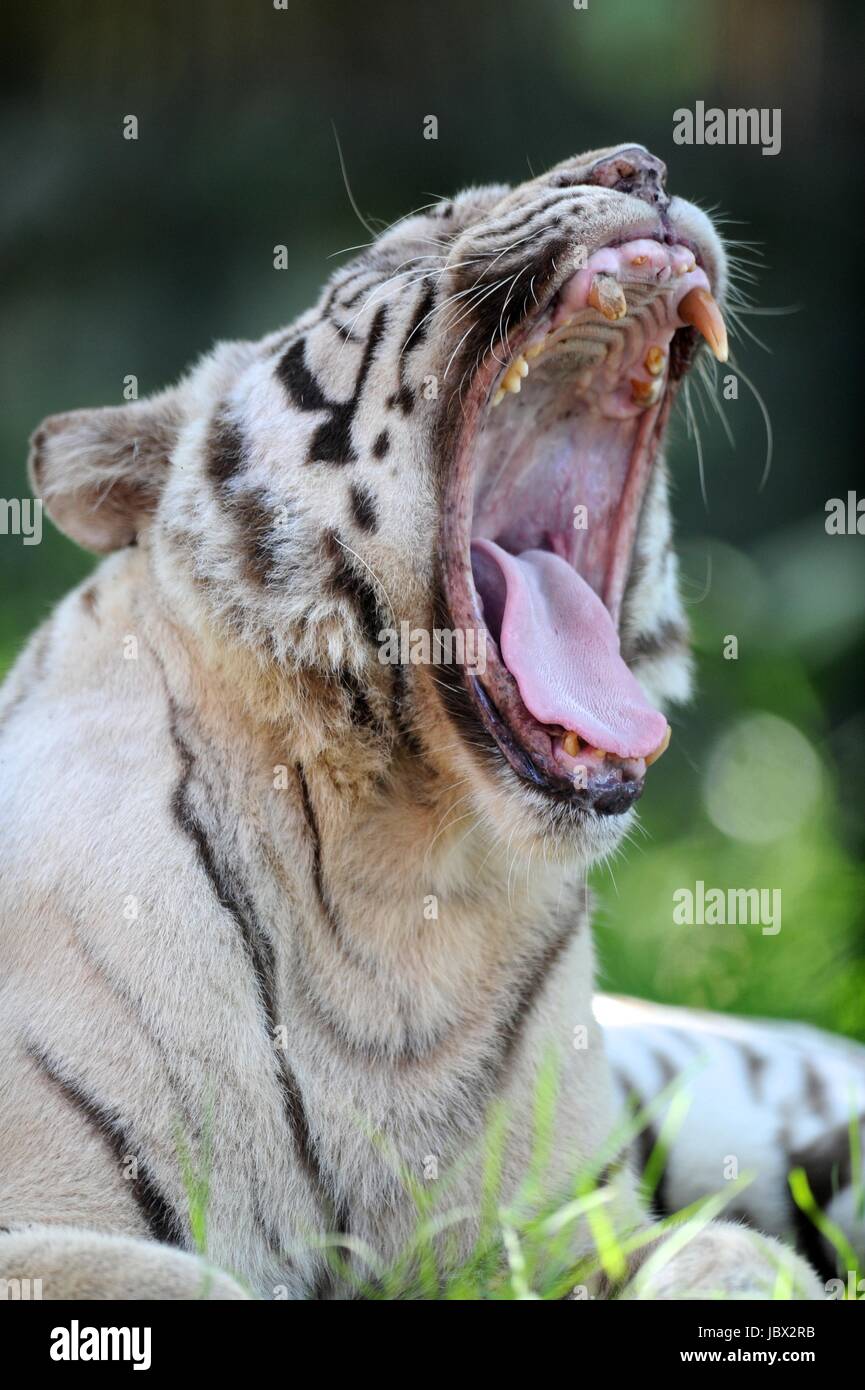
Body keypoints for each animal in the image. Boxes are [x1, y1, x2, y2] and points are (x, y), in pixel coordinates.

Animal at [1, 142, 862, 1301]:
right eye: (424, 231)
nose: (641, 164)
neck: (404, 895)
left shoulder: (566, 1222)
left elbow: (717, 1247)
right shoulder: (45, 1229)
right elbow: (181, 1280)